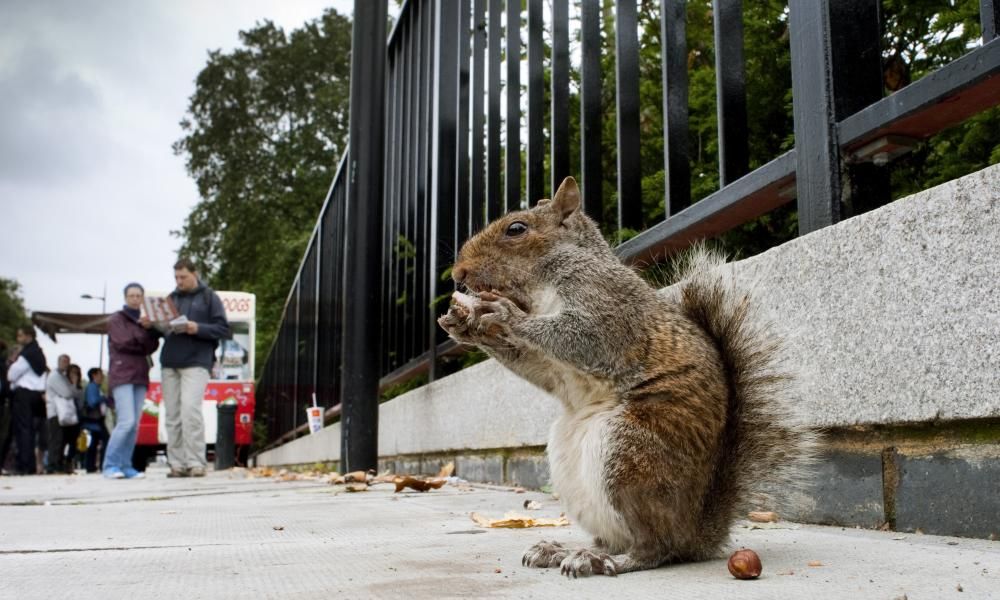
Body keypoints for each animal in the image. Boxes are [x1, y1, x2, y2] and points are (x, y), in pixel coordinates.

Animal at [437, 176, 816, 577]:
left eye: (516, 229)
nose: (458, 274)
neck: (540, 287)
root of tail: (696, 533)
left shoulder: (607, 305)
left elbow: (582, 337)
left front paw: (507, 315)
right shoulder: (553, 367)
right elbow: (537, 366)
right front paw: (466, 325)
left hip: (630, 454)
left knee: (654, 547)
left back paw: (605, 560)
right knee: (617, 537)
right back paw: (562, 550)